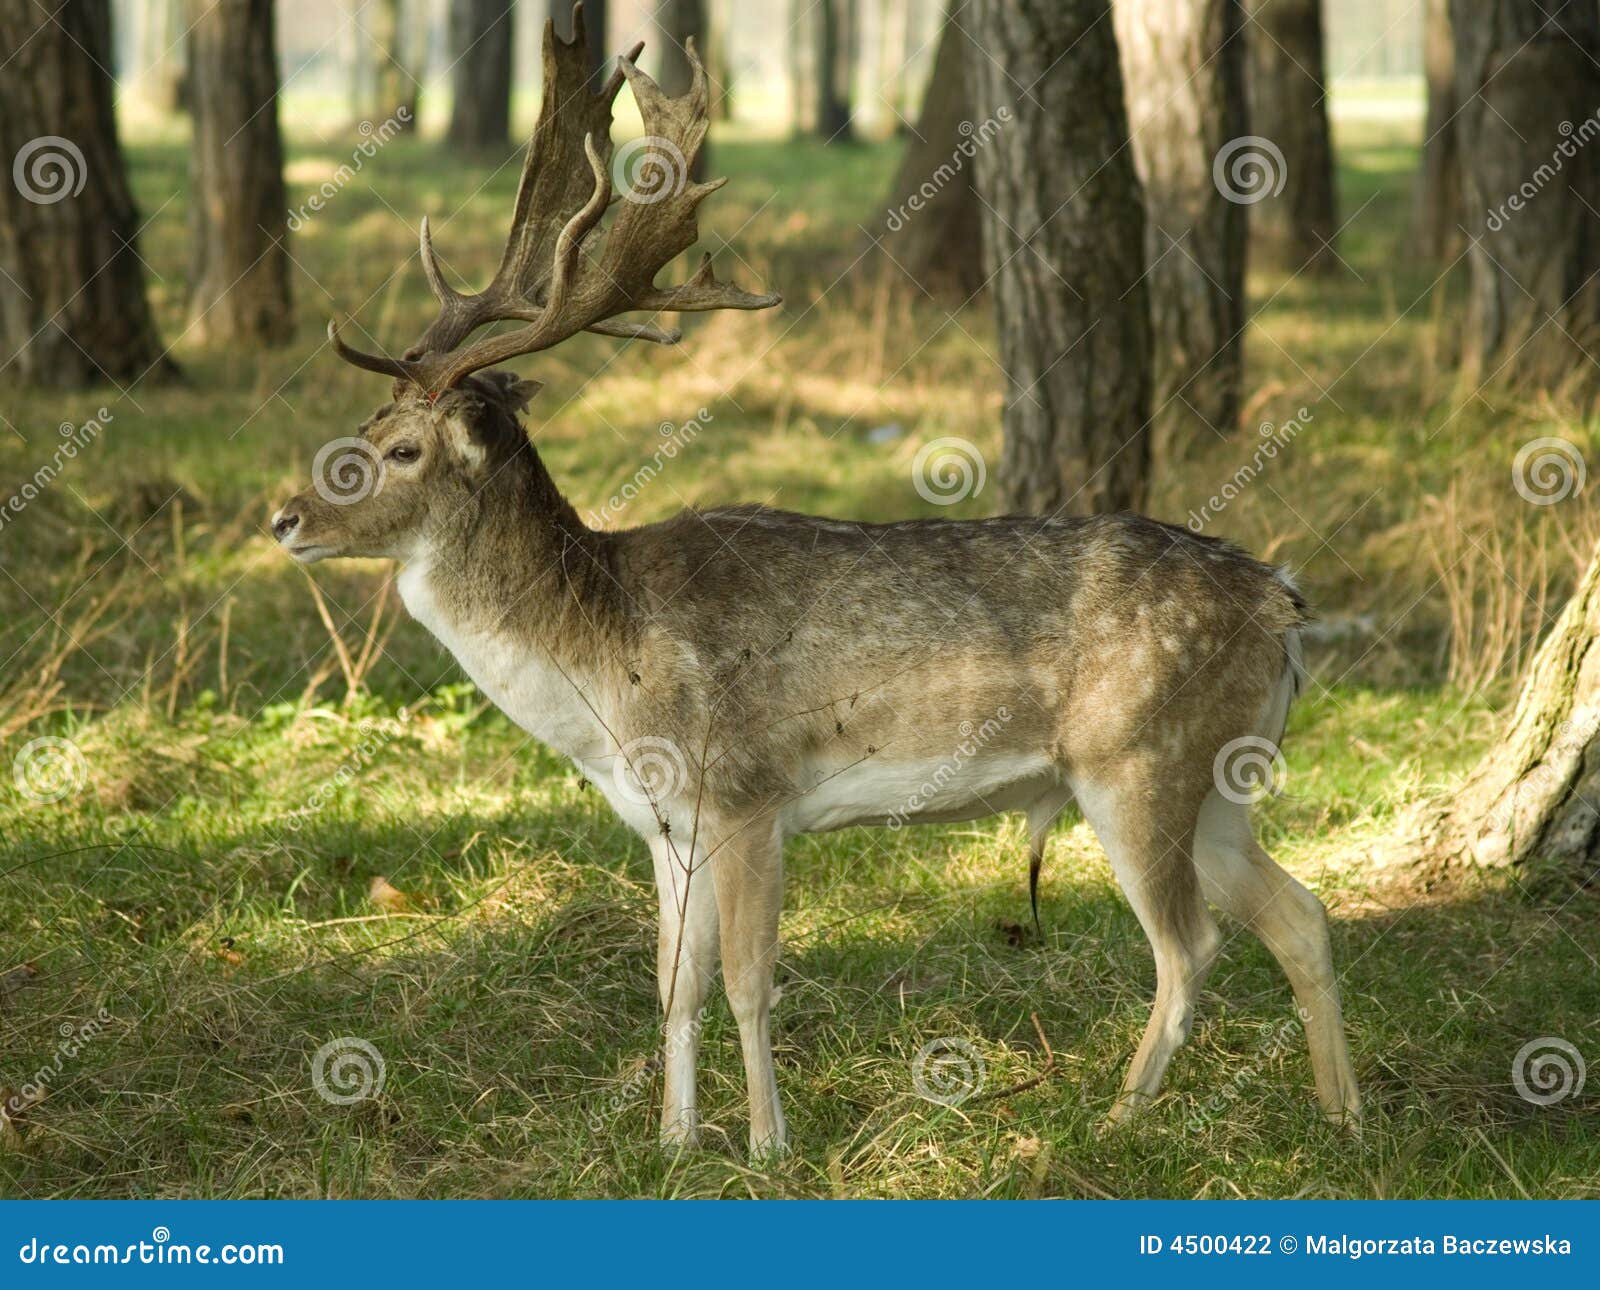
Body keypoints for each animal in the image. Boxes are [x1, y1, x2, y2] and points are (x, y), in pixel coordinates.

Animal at [270, 10, 1362, 1158]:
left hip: (1136, 757)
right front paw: (672, 1144)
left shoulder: (747, 794)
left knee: (1189, 946)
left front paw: (766, 1146)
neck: (605, 673)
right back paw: (1343, 1116)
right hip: (1220, 782)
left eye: (399, 449)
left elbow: (750, 982)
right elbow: (674, 986)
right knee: (1300, 912)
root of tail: (1284, 601)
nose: (285, 518)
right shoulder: (666, 826)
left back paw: (1108, 1122)